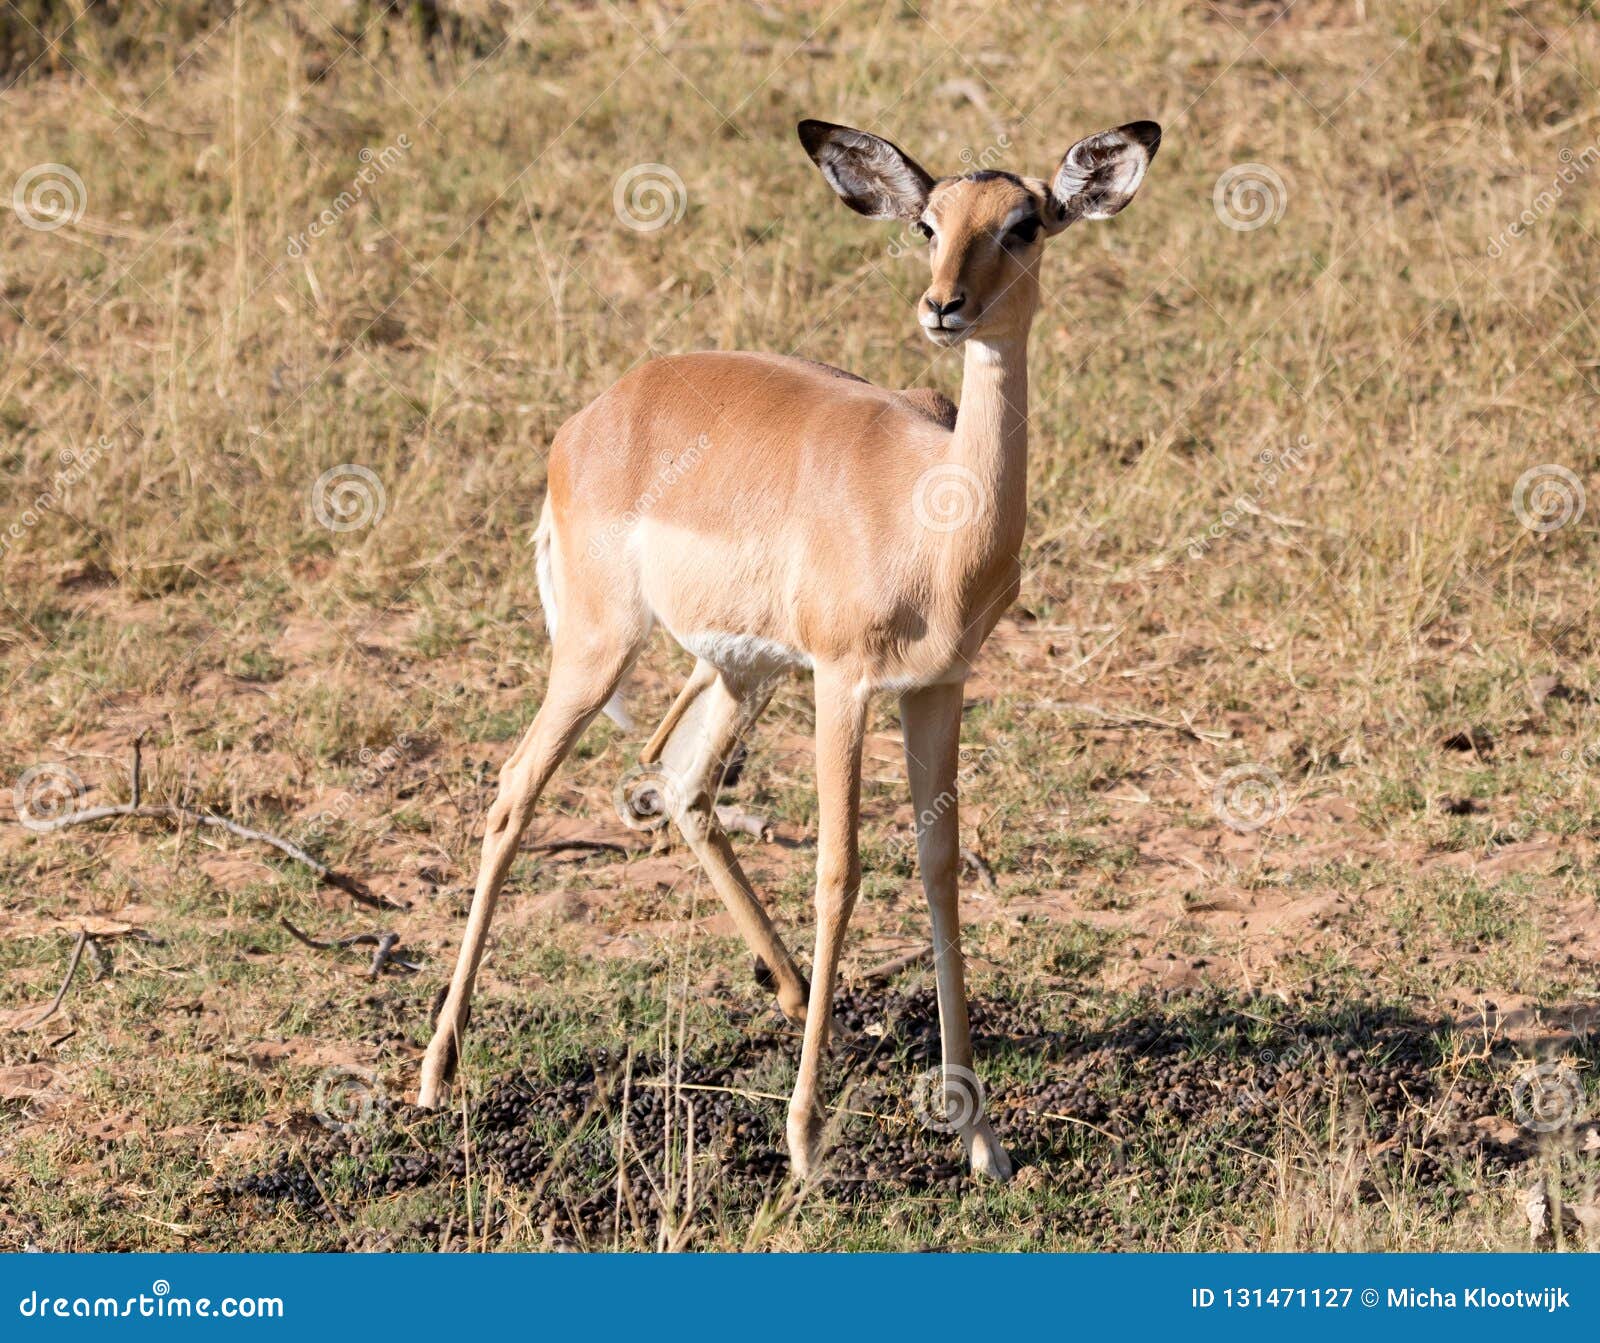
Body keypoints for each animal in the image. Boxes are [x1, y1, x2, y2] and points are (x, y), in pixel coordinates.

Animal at [417, 115, 1162, 1182]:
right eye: (928, 223)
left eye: (1024, 223)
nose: (944, 307)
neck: (931, 516)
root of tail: (592, 419)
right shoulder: (845, 683)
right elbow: (839, 871)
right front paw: (806, 1141)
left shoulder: (937, 686)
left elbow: (940, 868)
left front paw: (981, 1135)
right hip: (601, 651)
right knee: (515, 792)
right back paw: (437, 1072)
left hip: (742, 671)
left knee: (683, 785)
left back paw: (811, 1006)